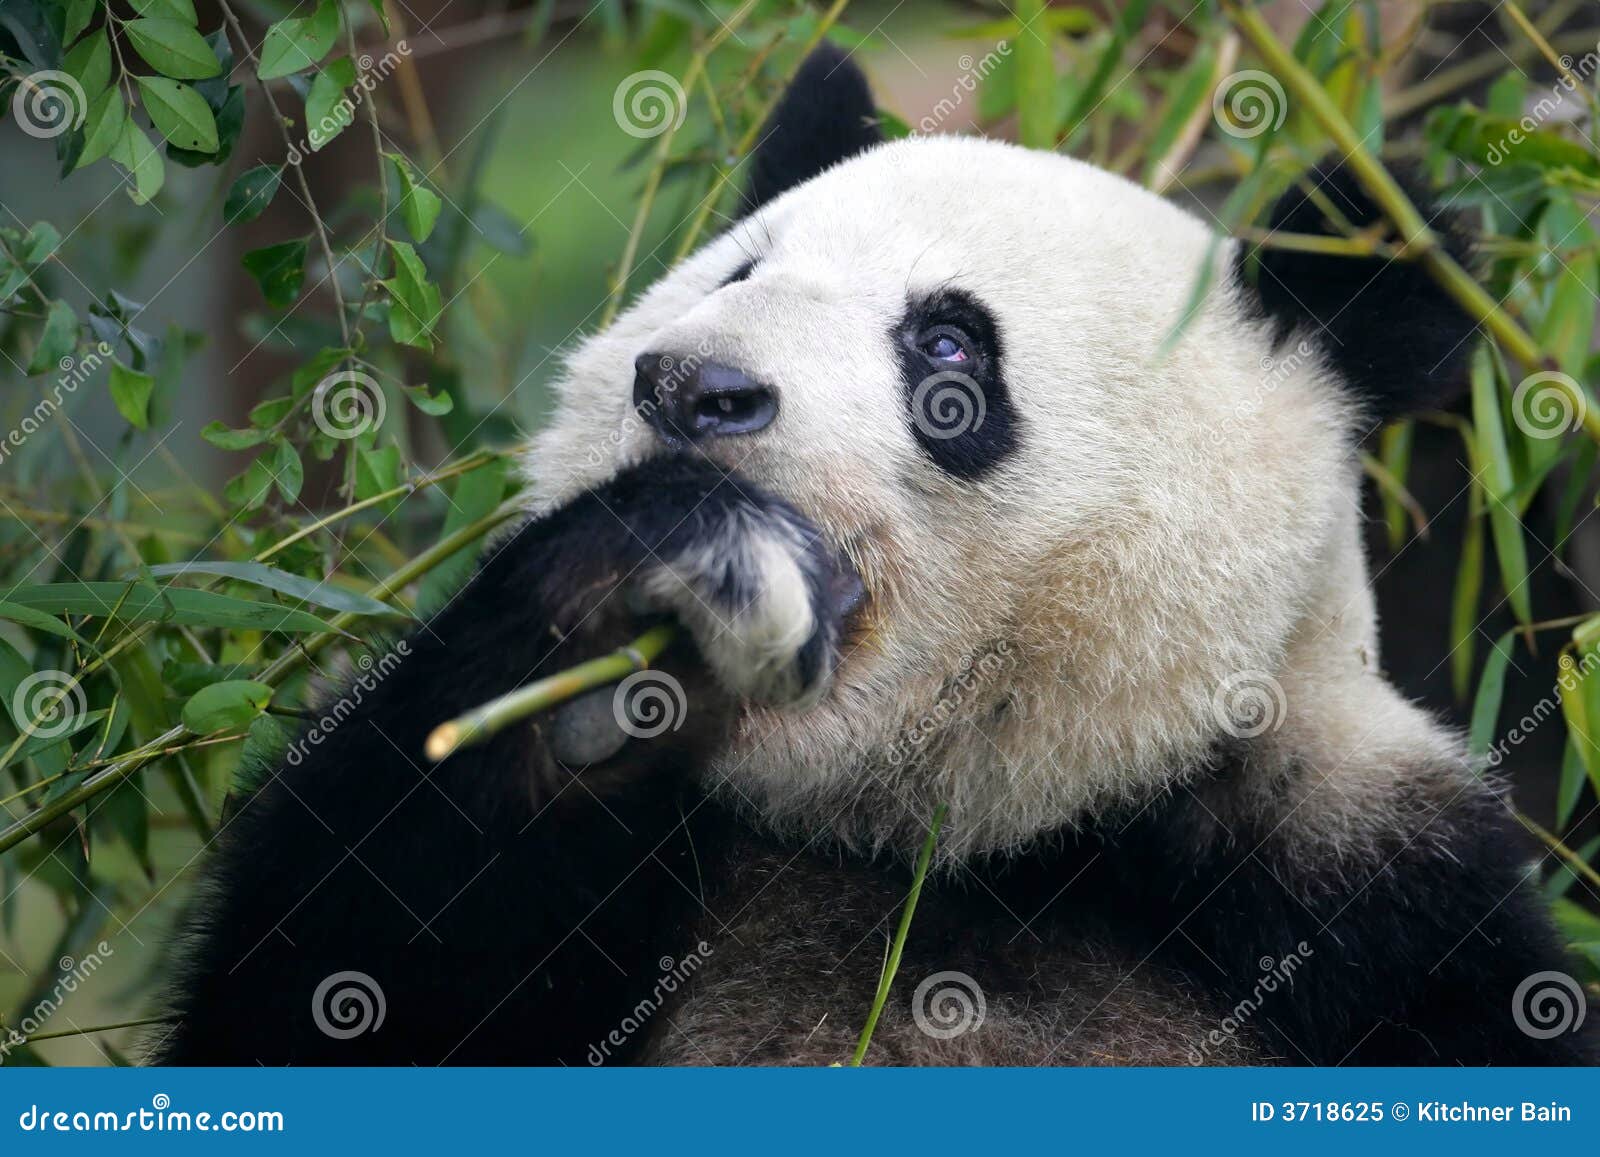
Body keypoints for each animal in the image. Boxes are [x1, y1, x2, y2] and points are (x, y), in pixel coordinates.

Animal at [153, 46, 1597, 1067]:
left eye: (948, 346)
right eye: (733, 275)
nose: (691, 387)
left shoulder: (1360, 893)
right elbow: (326, 988)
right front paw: (623, 624)